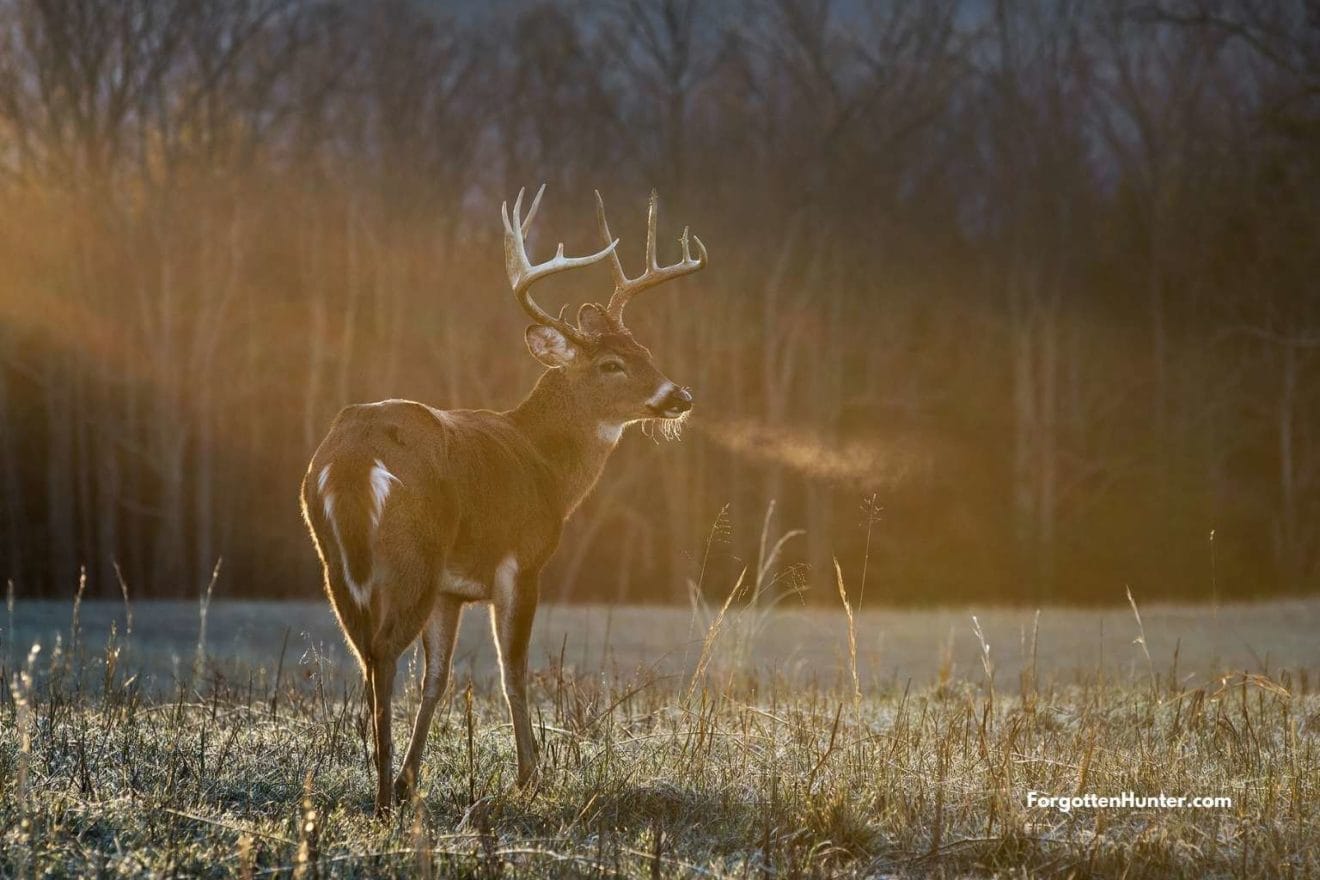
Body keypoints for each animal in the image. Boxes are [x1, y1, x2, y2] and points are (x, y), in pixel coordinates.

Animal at [300, 185, 707, 815]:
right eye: (611, 364)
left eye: (644, 349)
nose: (679, 396)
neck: (546, 465)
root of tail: (349, 462)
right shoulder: (522, 559)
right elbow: (513, 669)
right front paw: (529, 776)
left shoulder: (452, 587)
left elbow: (437, 677)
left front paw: (415, 775)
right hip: (410, 557)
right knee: (384, 652)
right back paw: (383, 800)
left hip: (336, 564)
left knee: (366, 656)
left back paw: (387, 783)